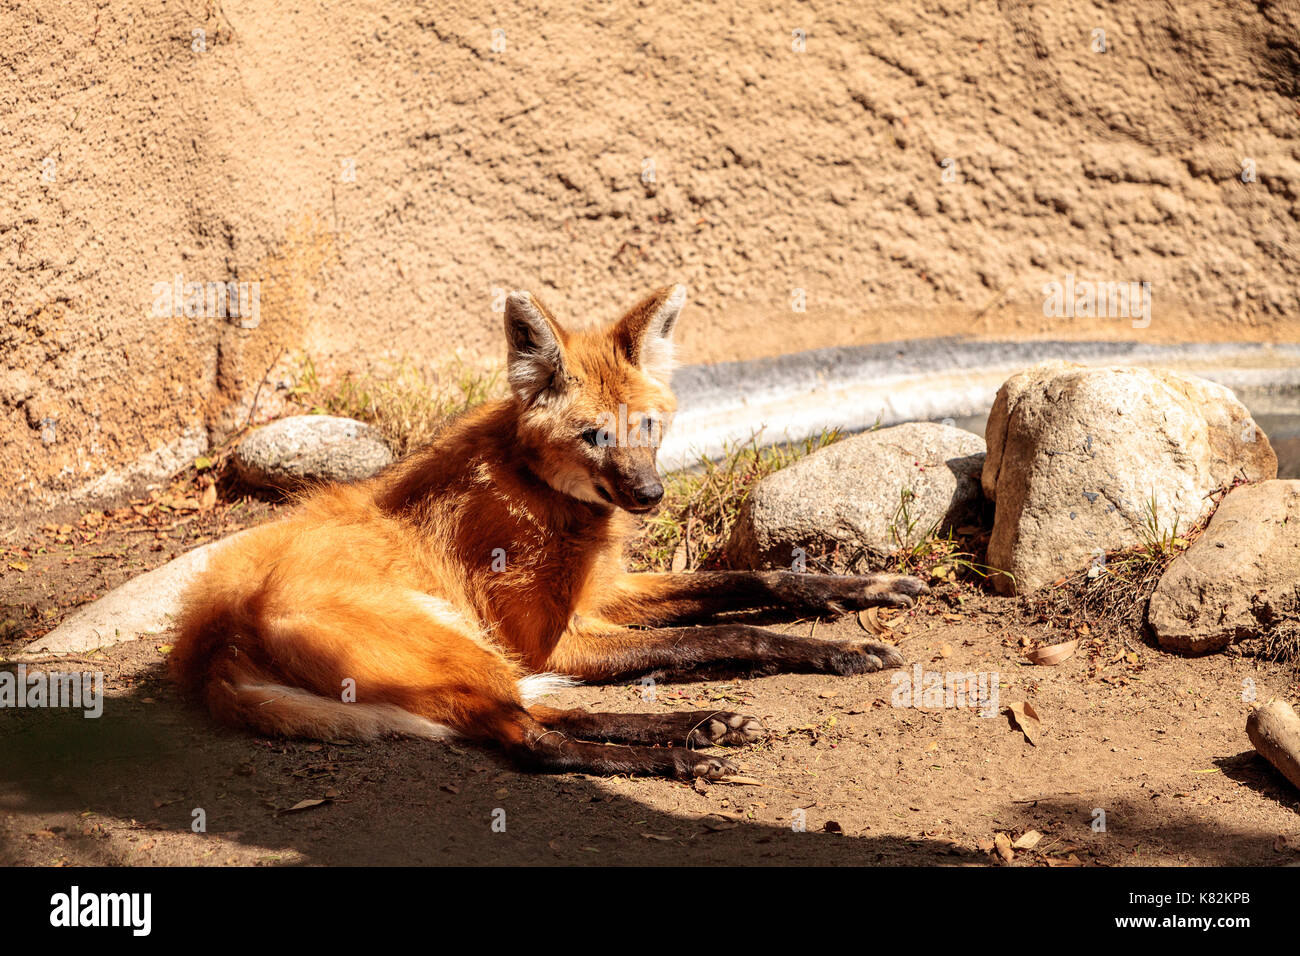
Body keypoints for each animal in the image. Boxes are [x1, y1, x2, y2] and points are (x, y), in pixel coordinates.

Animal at [170, 286, 925, 780]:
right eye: (594, 437)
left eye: (645, 427)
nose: (651, 496)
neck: (541, 496)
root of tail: (215, 636)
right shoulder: (554, 640)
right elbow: (725, 634)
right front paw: (842, 648)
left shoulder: (603, 596)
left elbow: (750, 580)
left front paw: (861, 596)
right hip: (463, 648)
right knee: (532, 740)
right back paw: (685, 754)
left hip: (467, 658)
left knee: (543, 714)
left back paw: (706, 726)